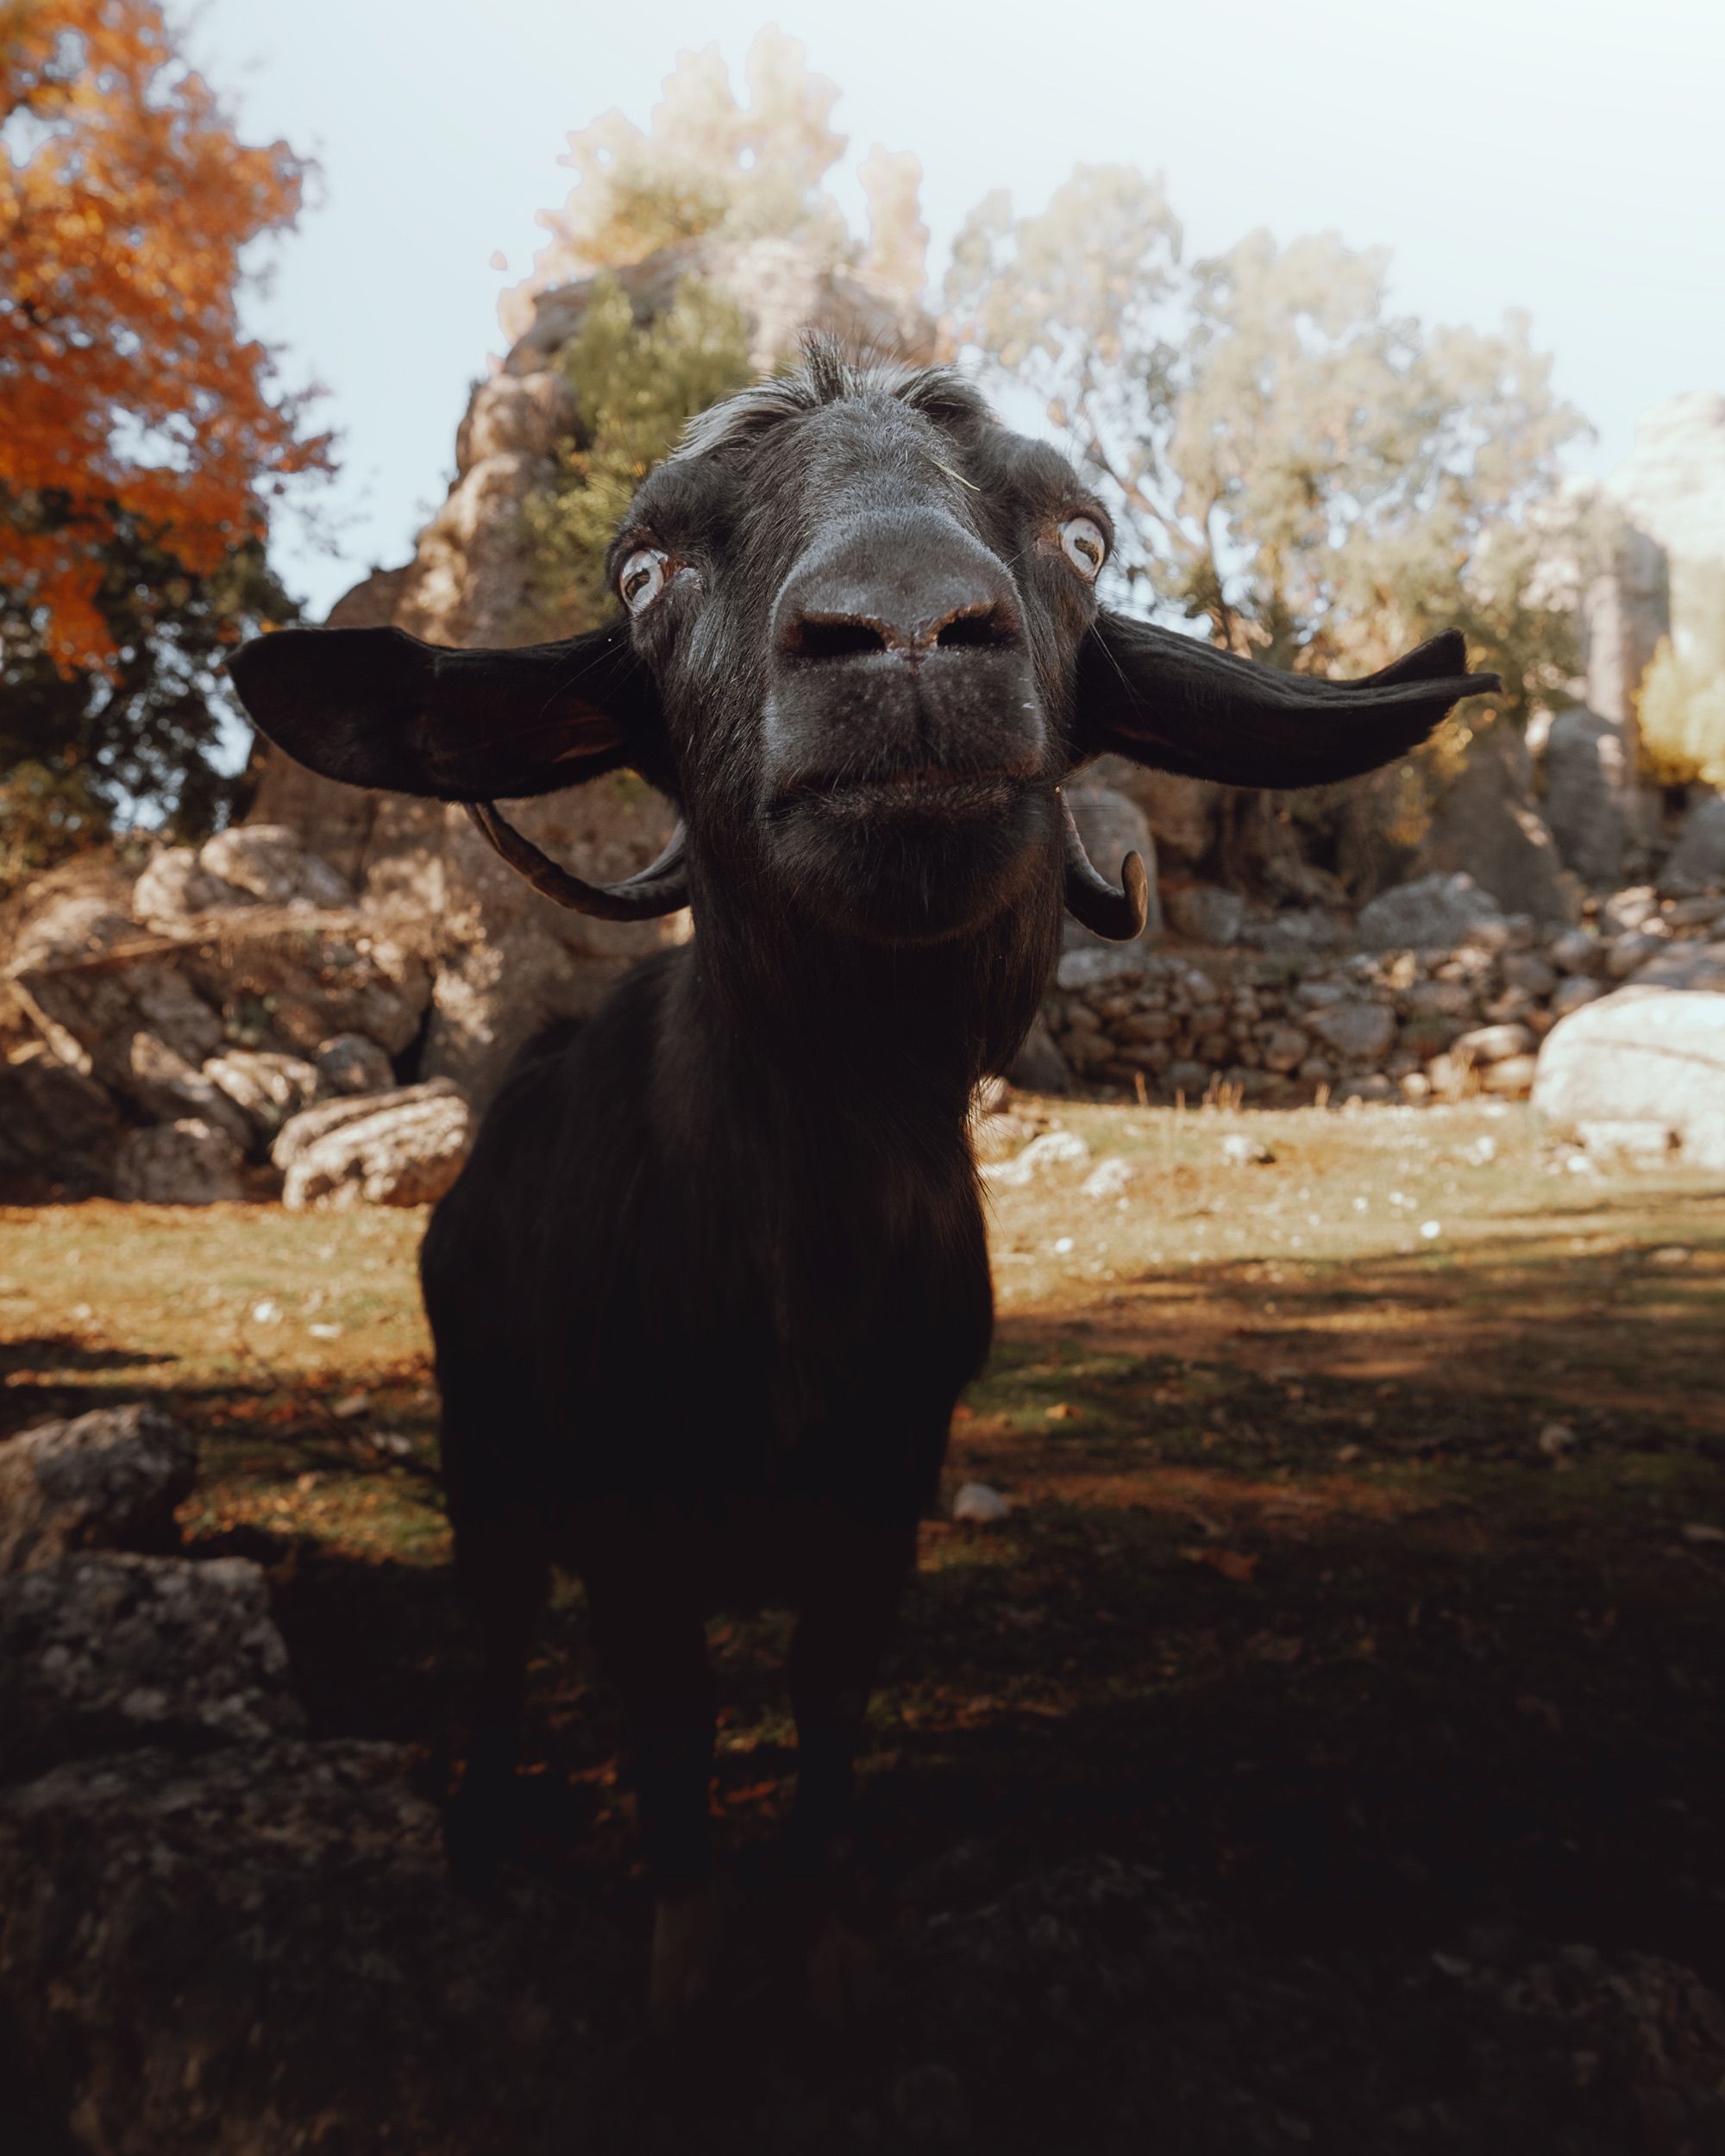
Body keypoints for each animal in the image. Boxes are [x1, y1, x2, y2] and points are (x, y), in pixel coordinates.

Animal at [229, 345, 1496, 2024]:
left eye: (1083, 537)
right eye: (644, 569)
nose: (902, 635)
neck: (799, 1274)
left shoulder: (884, 1511)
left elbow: (828, 1716)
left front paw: (822, 1940)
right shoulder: (632, 1536)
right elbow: (673, 1738)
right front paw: (687, 1968)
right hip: (481, 1462)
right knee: (494, 1649)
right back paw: (485, 1845)